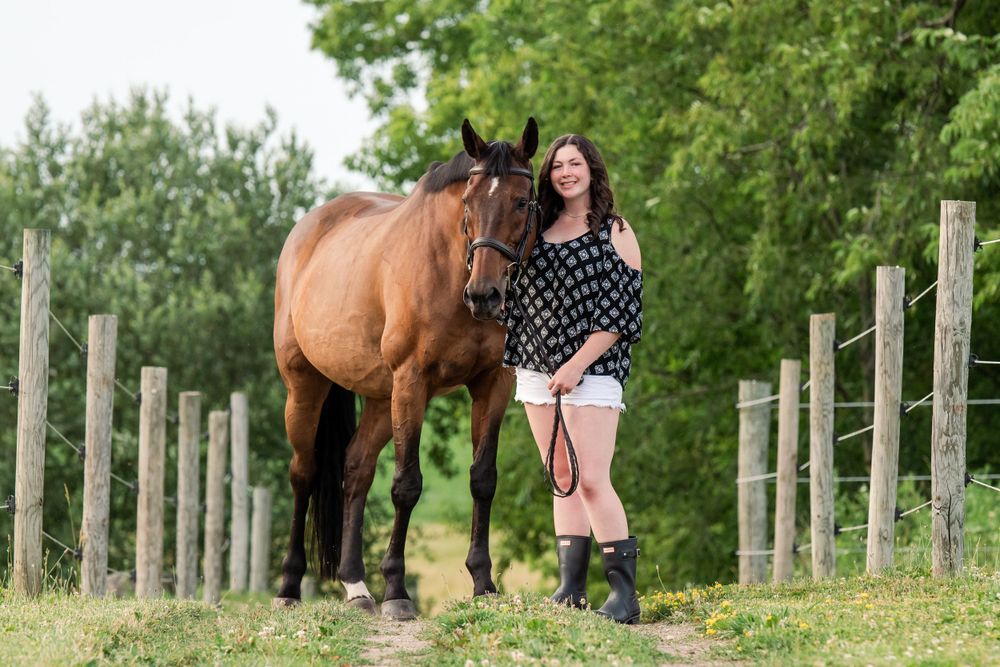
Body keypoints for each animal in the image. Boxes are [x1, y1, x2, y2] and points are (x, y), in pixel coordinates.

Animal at [271, 118, 540, 619]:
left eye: (521, 201)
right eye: (468, 202)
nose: (485, 295)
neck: (450, 269)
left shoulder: (492, 384)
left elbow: (483, 479)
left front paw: (483, 582)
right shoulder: (412, 381)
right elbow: (406, 484)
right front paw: (397, 589)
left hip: (382, 398)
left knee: (355, 470)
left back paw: (355, 585)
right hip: (306, 386)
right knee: (305, 473)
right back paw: (289, 585)